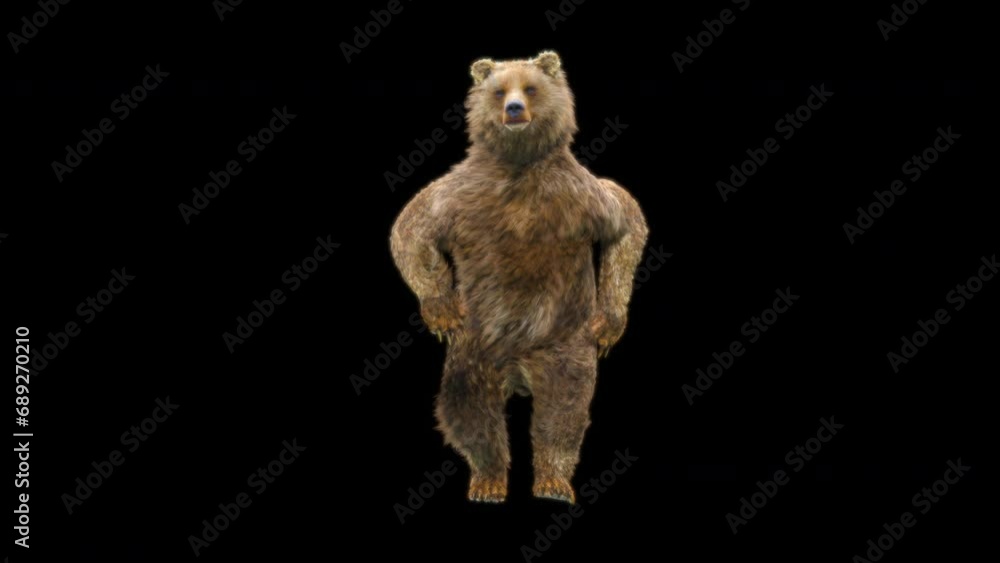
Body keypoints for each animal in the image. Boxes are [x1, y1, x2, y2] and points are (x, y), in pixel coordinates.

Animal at [390, 51, 648, 504]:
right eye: (498, 90)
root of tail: (518, 373)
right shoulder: (457, 195)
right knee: (467, 403)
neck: (518, 164)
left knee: (564, 407)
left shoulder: (581, 196)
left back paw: (553, 481)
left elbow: (627, 225)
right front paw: (441, 312)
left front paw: (608, 326)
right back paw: (488, 480)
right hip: (475, 348)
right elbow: (411, 230)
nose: (513, 109)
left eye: (530, 87)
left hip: (562, 344)